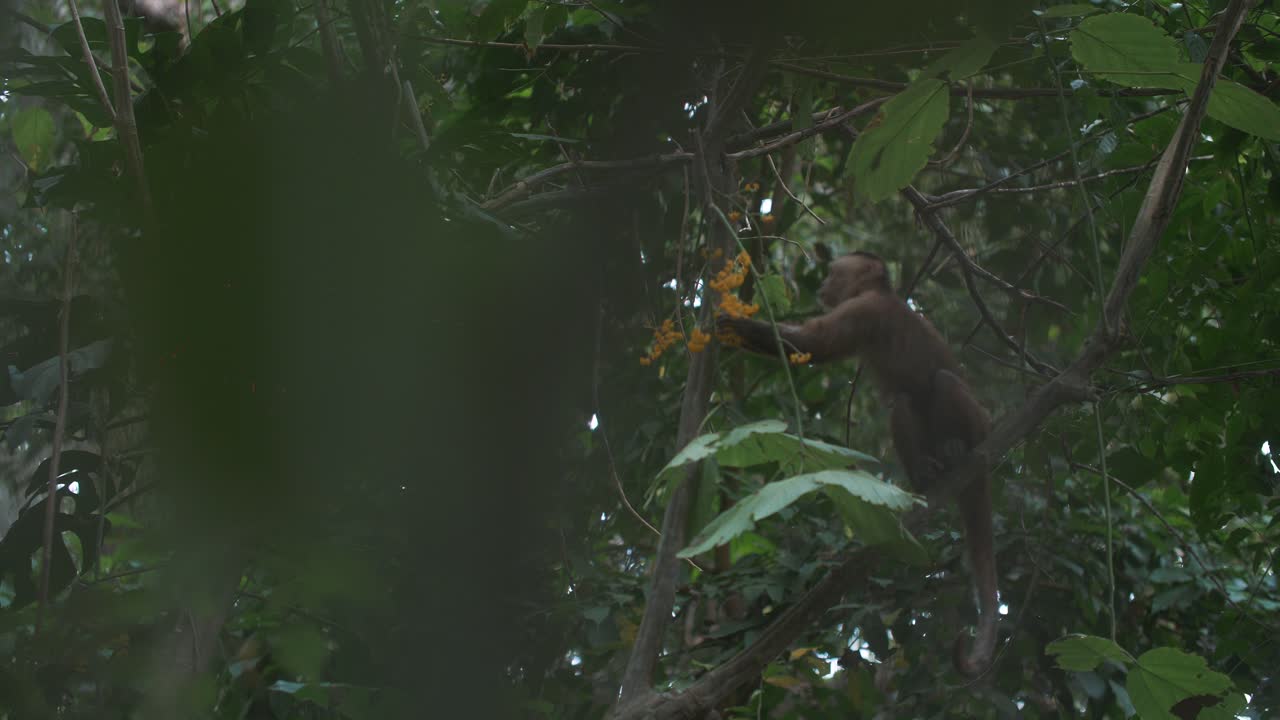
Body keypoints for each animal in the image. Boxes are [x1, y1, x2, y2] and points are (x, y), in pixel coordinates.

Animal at [718, 251, 998, 677]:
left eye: (834, 272)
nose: (822, 284)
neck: (881, 292)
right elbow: (812, 350)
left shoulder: (865, 309)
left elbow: (812, 344)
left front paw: (735, 323)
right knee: (904, 403)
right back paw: (927, 476)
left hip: (980, 422)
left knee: (944, 383)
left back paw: (958, 448)